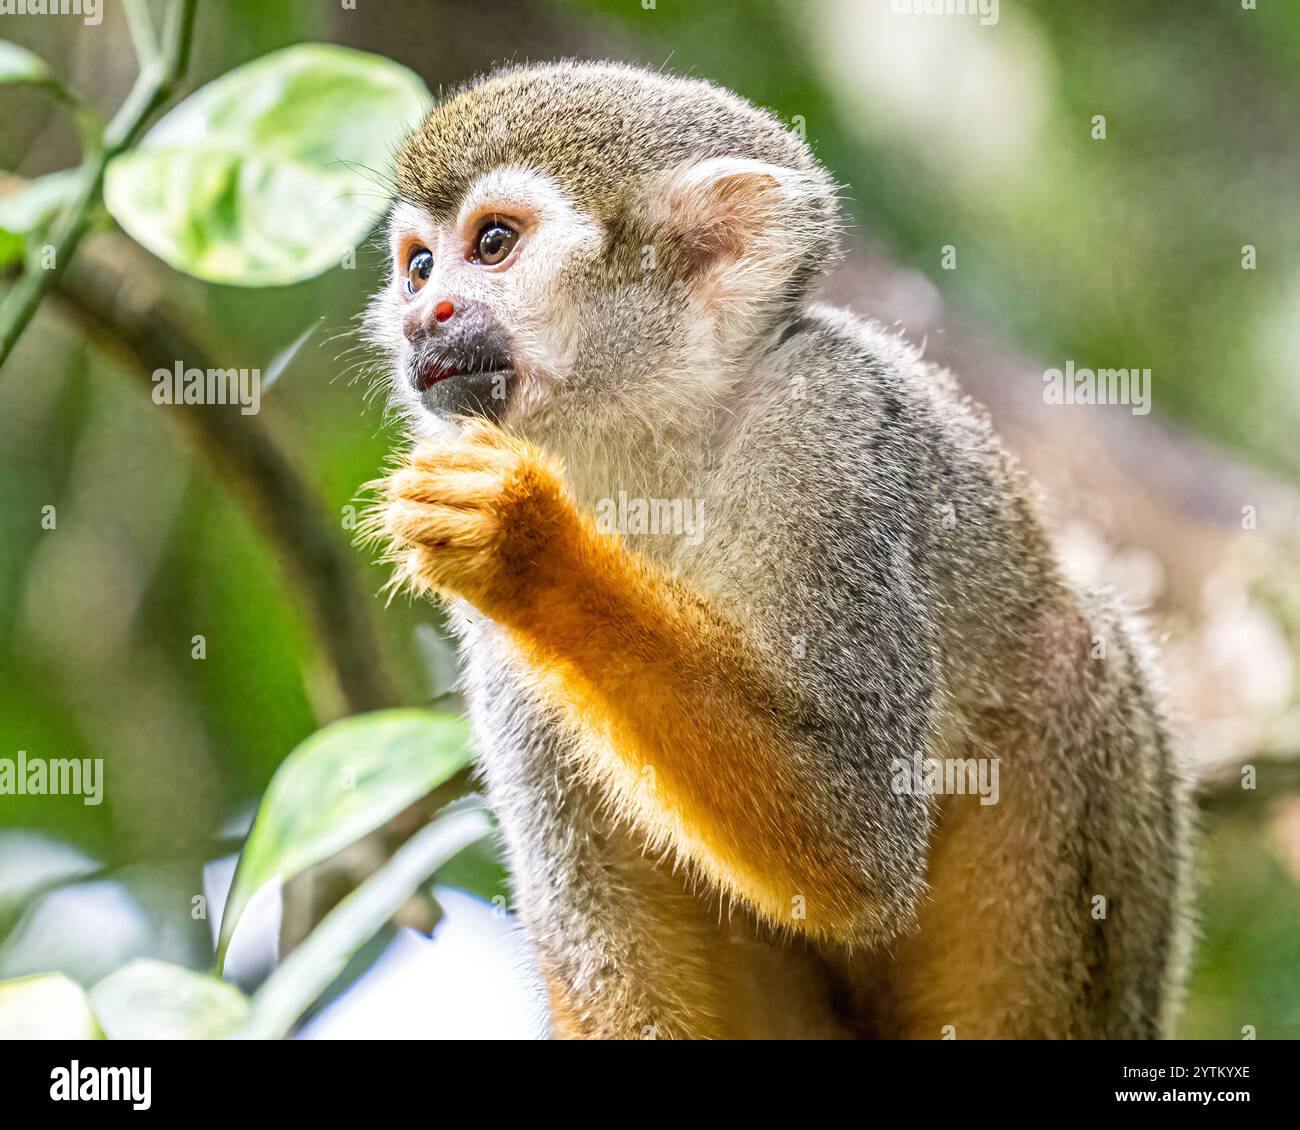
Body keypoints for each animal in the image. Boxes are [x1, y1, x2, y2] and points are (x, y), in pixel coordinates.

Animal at [362, 60, 1194, 1039]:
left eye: (492, 243)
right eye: (418, 266)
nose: (424, 316)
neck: (645, 451)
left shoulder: (828, 428)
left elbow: (851, 836)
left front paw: (530, 543)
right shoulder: (493, 642)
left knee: (1076, 656)